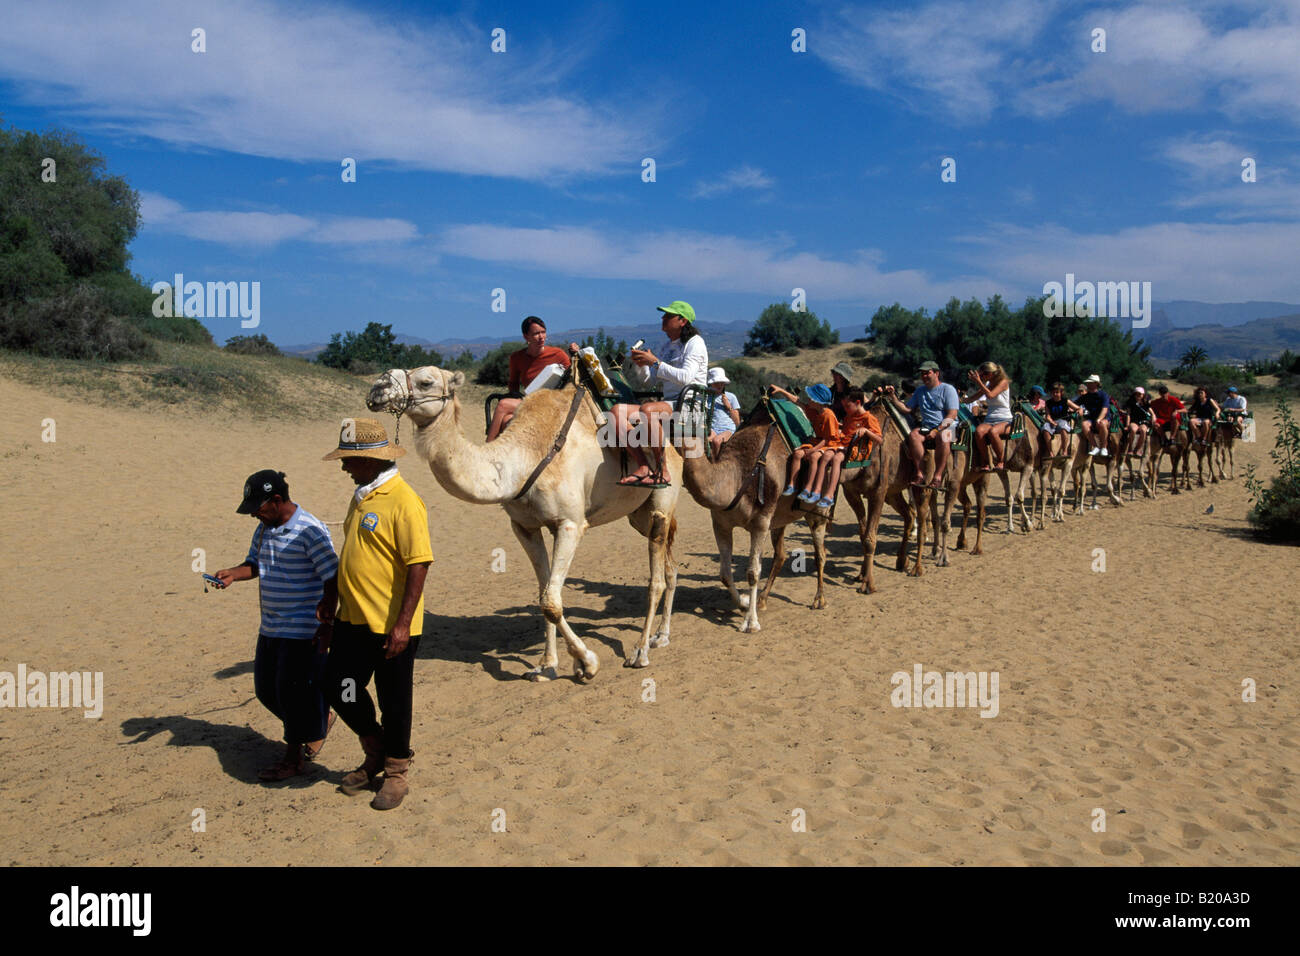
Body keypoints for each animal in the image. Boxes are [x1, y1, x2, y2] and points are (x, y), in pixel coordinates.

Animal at [365, 366, 681, 680]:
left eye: (426, 381)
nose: (378, 388)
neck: (524, 459)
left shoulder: (570, 524)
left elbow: (551, 601)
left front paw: (587, 662)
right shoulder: (525, 527)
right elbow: (544, 595)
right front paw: (546, 664)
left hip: (661, 501)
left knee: (655, 578)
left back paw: (640, 651)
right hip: (636, 515)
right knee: (670, 566)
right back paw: (662, 636)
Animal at [676, 401, 831, 631]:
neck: (736, 475)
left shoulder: (760, 522)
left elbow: (752, 572)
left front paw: (751, 622)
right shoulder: (720, 523)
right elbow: (724, 574)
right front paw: (744, 603)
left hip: (818, 510)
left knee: (820, 552)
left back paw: (819, 599)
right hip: (780, 517)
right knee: (780, 555)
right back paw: (763, 599)